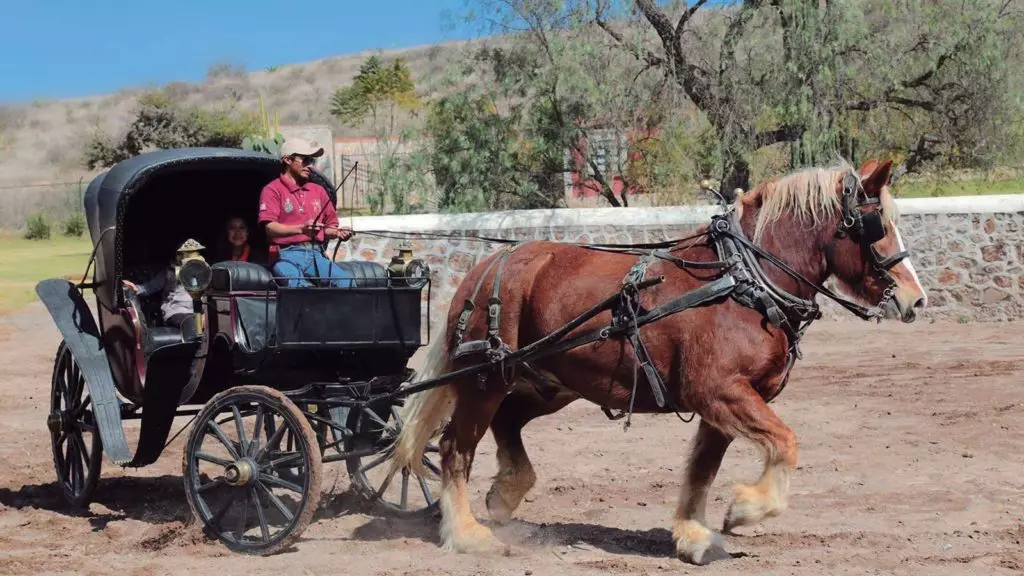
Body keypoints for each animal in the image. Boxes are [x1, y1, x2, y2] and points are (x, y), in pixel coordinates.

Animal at [385, 156, 929, 561]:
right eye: (875, 225)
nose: (915, 299)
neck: (743, 281)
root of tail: (486, 267)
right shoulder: (720, 392)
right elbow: (785, 443)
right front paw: (745, 510)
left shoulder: (723, 404)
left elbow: (702, 470)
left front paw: (694, 534)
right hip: (486, 380)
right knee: (456, 447)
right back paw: (466, 532)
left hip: (547, 383)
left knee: (508, 424)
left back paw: (505, 493)